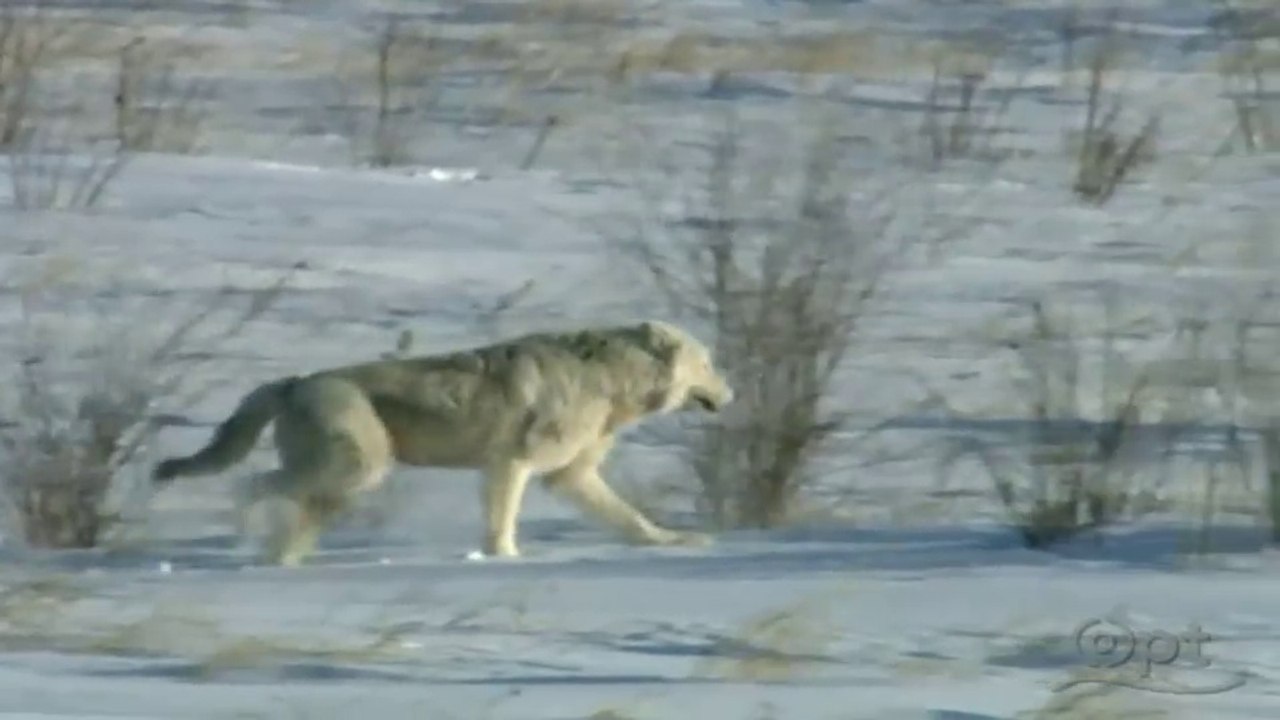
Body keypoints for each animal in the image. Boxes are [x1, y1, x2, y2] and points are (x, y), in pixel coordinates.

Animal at [151, 319, 733, 566]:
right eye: (709, 364)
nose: (732, 393)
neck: (614, 380)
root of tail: (295, 381)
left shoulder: (569, 476)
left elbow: (633, 520)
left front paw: (673, 542)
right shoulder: (513, 464)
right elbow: (502, 525)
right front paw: (505, 559)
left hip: (344, 483)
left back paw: (279, 561)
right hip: (358, 469)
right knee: (251, 484)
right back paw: (245, 536)